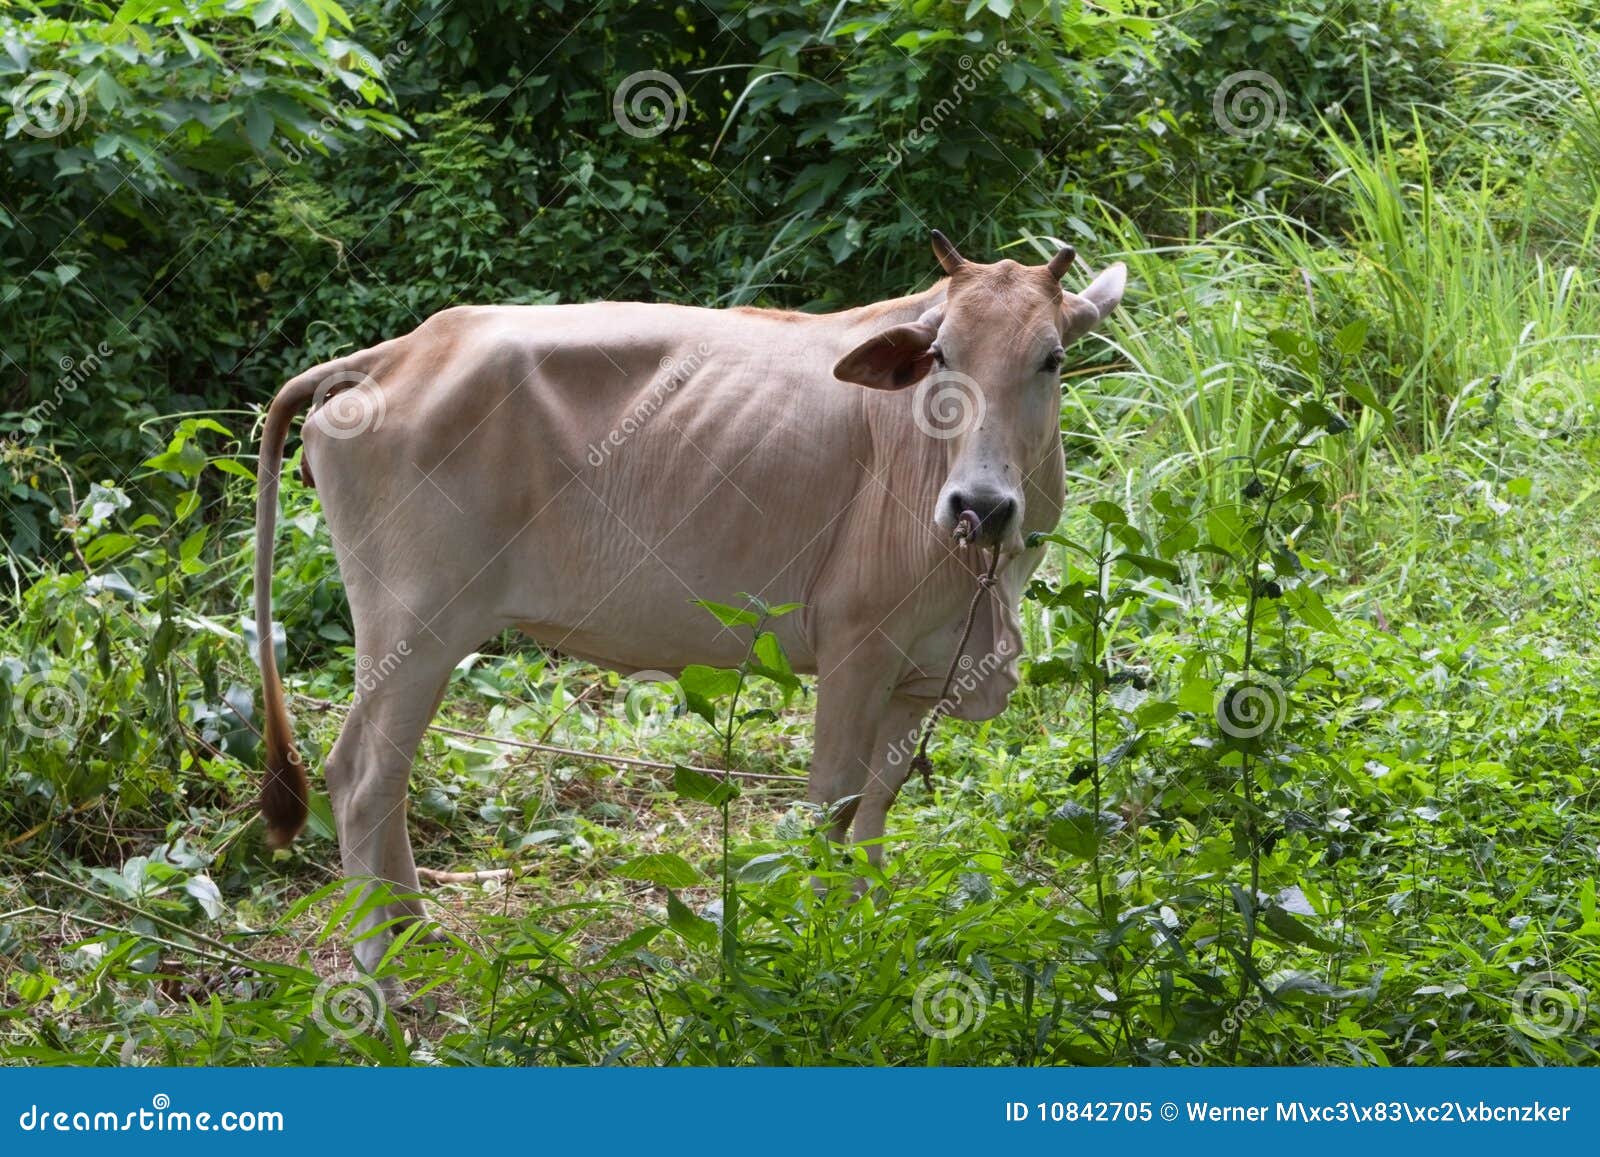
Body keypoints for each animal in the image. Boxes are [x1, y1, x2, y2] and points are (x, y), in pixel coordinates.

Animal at [253, 232, 1125, 971]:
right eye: (941, 355)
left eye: (1051, 358)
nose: (979, 505)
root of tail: (390, 354)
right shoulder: (857, 647)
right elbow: (831, 806)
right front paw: (822, 948)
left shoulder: (922, 672)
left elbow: (877, 808)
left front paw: (870, 924)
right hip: (414, 626)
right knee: (361, 777)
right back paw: (382, 961)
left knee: (387, 777)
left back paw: (414, 932)